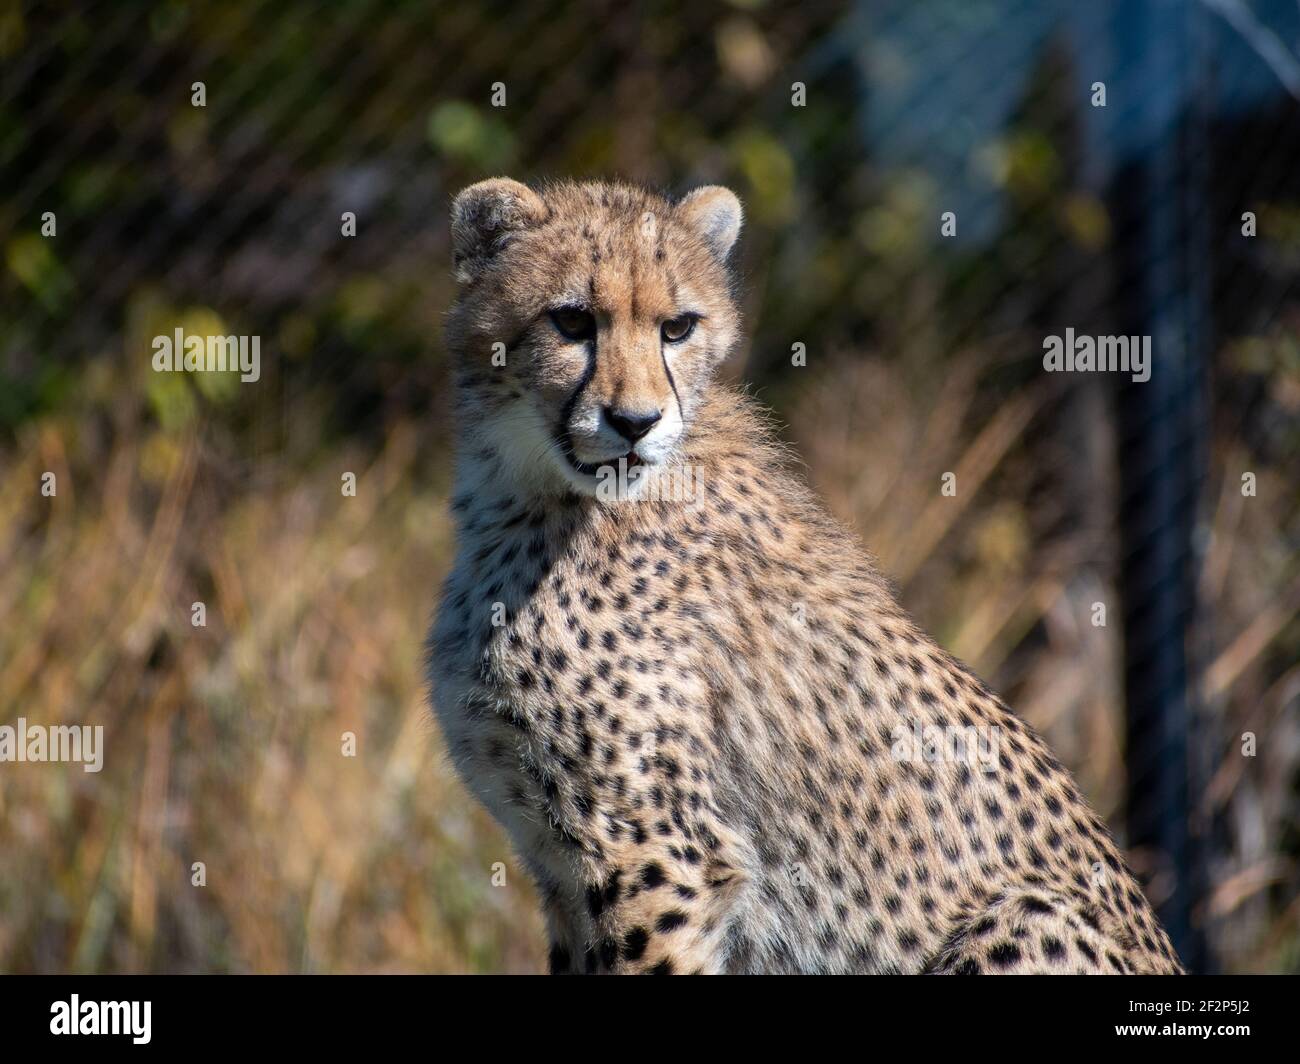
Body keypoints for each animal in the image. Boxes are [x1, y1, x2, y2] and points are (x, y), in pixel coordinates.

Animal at [426, 176, 1184, 975]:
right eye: (571, 321)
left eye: (677, 328)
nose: (636, 423)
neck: (527, 493)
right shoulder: (566, 869)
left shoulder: (659, 859)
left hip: (1026, 915)